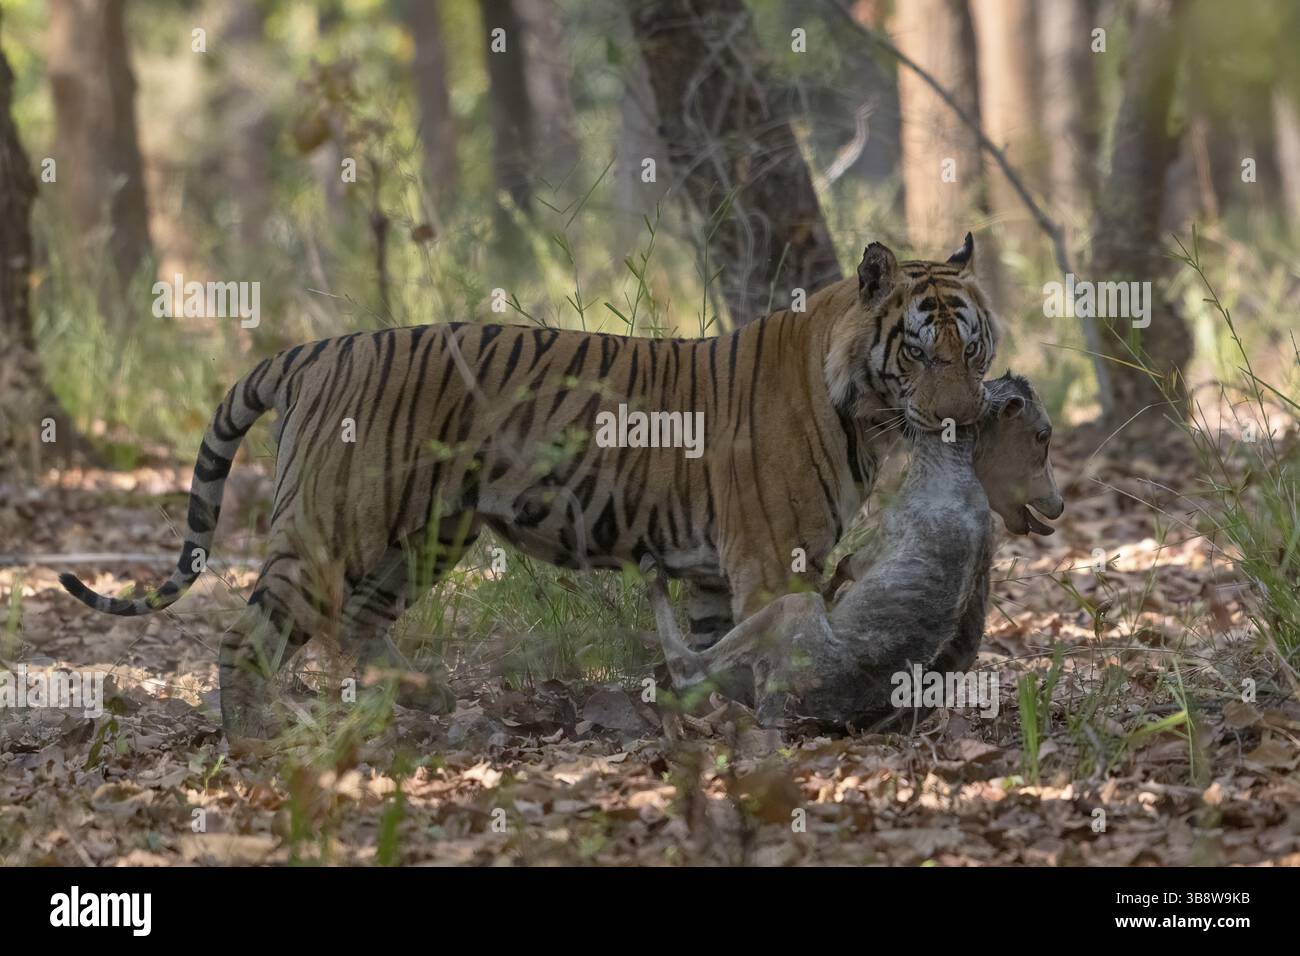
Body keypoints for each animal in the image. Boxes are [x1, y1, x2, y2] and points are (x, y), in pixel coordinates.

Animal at [60, 233, 1000, 736]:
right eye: (920, 351)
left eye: (975, 346)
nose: (964, 419)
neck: (866, 411)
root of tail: (314, 349)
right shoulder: (773, 558)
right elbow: (770, 650)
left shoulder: (711, 571)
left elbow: (712, 652)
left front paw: (709, 720)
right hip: (334, 532)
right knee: (246, 636)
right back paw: (257, 741)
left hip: (428, 533)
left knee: (360, 622)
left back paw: (425, 701)